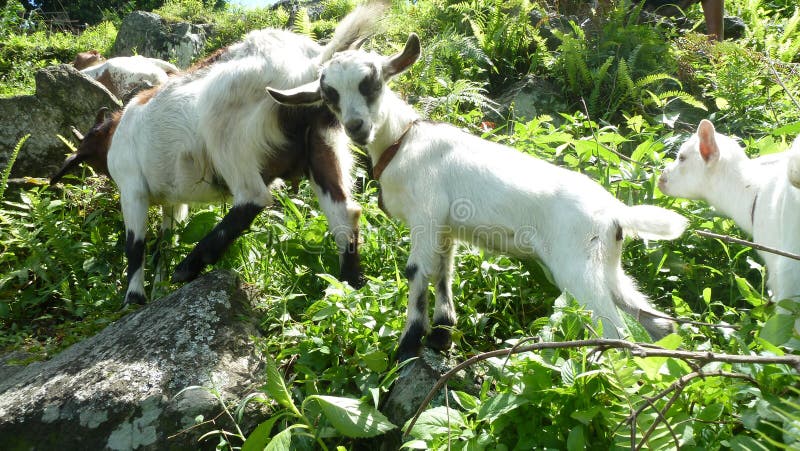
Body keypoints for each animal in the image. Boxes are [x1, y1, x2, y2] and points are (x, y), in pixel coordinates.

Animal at [56, 3, 385, 306]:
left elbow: (135, 245)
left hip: (226, 137)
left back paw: (189, 266)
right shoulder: (173, 201)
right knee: (345, 214)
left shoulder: (131, 188)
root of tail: (311, 65)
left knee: (253, 197)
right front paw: (159, 287)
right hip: (322, 143)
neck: (114, 133)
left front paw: (133, 299)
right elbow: (165, 241)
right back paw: (349, 286)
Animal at [268, 33, 689, 361]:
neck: (403, 141)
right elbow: (443, 272)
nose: (356, 127)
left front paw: (407, 346)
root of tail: (615, 212)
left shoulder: (426, 215)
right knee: (653, 321)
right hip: (606, 265)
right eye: (329, 95)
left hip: (576, 266)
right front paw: (441, 335)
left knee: (616, 330)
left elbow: (417, 271)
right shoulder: (445, 227)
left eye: (373, 83)